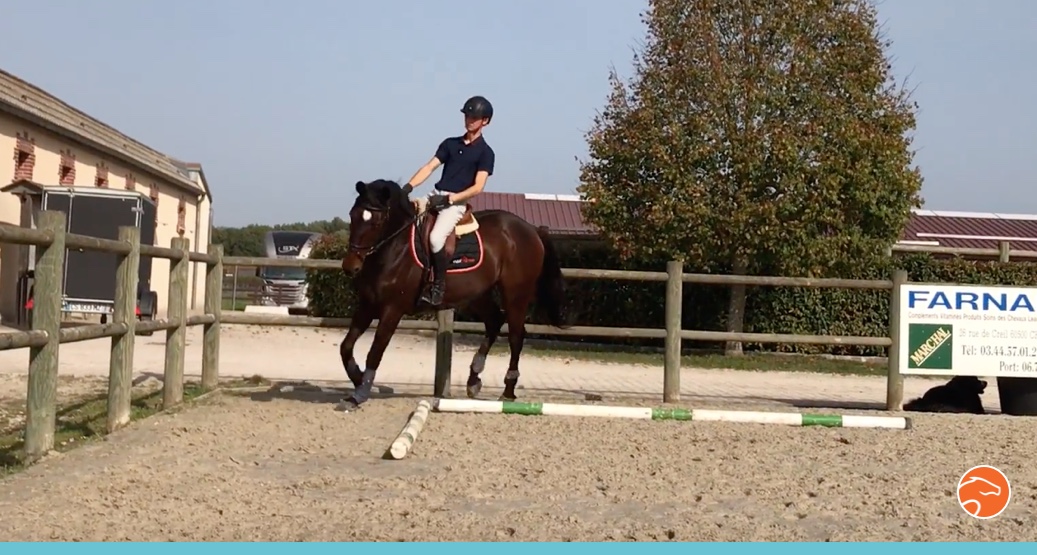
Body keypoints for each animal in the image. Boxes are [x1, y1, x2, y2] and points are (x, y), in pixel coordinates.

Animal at [337, 179, 572, 411]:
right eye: (352, 215)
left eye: (376, 223)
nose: (350, 267)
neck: (395, 249)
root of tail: (531, 229)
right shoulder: (367, 305)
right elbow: (345, 346)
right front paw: (357, 379)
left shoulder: (392, 310)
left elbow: (375, 352)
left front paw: (360, 393)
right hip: (477, 294)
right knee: (494, 321)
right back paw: (474, 380)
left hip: (515, 294)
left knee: (516, 335)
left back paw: (508, 390)